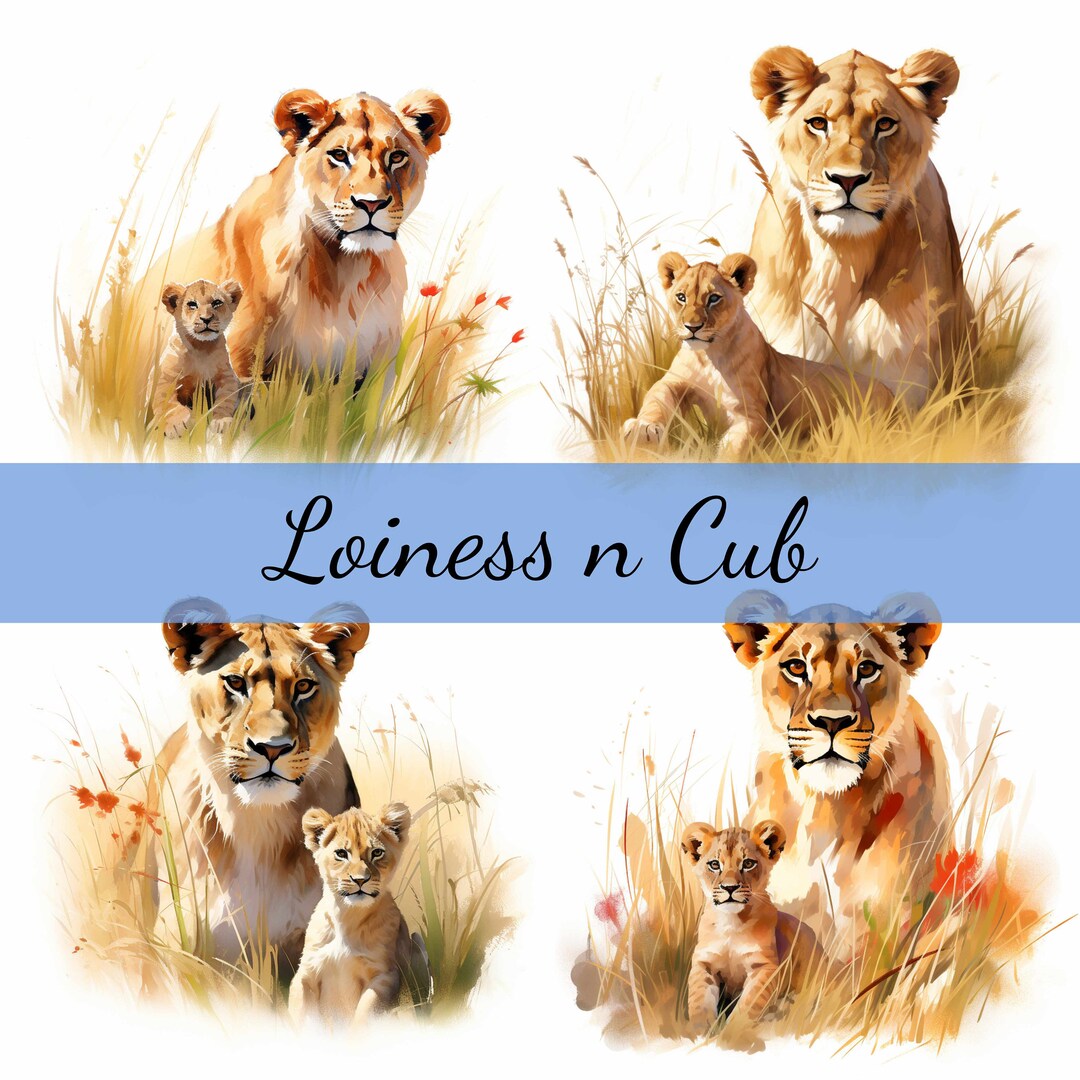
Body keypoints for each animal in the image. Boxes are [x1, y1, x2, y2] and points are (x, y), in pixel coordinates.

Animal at [152, 87, 450, 384]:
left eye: (397, 157)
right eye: (339, 155)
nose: (371, 203)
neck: (348, 272)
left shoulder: (375, 372)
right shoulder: (240, 359)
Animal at [152, 279, 243, 437]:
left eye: (217, 303)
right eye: (192, 304)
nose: (206, 319)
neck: (201, 347)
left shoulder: (227, 377)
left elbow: (225, 400)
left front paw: (222, 421)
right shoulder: (163, 378)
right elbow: (167, 403)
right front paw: (176, 424)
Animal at [290, 804, 415, 1027]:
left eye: (377, 852)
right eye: (341, 853)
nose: (360, 880)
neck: (347, 916)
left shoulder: (385, 975)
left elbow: (364, 1015)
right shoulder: (305, 972)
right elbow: (301, 1015)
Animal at [622, 251, 893, 456]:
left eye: (714, 298)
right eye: (681, 297)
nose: (692, 327)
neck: (711, 356)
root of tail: (890, 392)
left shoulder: (753, 415)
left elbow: (733, 447)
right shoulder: (676, 380)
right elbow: (657, 395)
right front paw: (644, 427)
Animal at [681, 819, 829, 1039]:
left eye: (748, 863)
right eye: (714, 865)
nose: (730, 888)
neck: (731, 923)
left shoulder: (765, 967)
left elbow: (748, 1006)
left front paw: (730, 1036)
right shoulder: (704, 963)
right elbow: (699, 1002)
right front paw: (702, 1033)